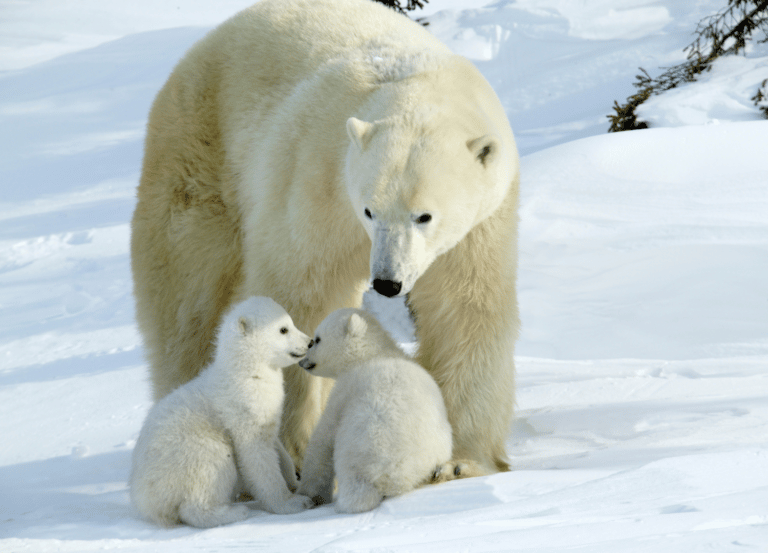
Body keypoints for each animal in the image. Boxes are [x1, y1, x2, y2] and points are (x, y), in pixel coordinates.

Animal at [129, 296, 315, 528]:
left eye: (290, 322)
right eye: (283, 329)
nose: (310, 342)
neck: (246, 371)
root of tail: (145, 500)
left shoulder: (267, 411)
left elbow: (277, 446)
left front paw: (294, 480)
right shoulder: (243, 408)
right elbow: (256, 456)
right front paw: (292, 502)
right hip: (189, 454)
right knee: (208, 474)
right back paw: (233, 512)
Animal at [130, 0, 520, 477]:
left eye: (424, 216)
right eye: (370, 210)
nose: (387, 282)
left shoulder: (481, 223)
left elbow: (464, 309)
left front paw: (461, 460)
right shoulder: (318, 181)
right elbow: (300, 292)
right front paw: (295, 448)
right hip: (199, 155)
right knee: (189, 299)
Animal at [295, 308, 453, 513]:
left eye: (317, 339)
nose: (302, 361)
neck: (375, 353)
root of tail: (394, 478)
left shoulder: (347, 388)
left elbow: (323, 439)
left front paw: (310, 494)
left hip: (361, 446)